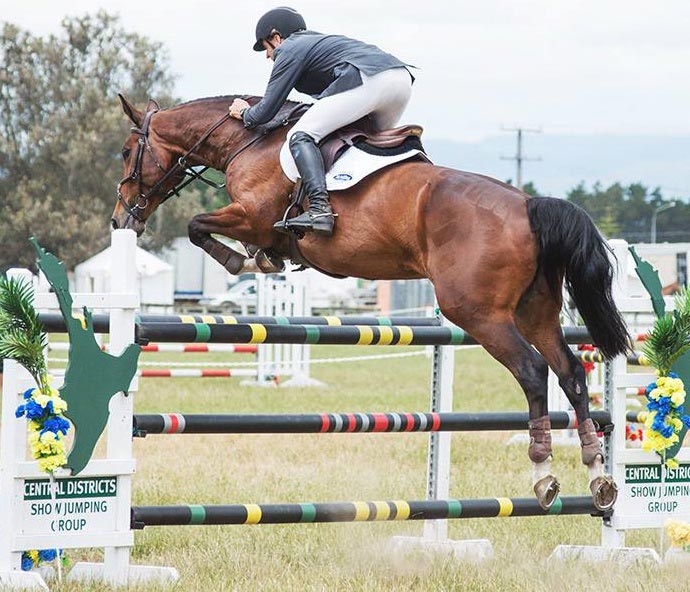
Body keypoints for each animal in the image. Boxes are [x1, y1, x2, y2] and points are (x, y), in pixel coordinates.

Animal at [111, 94, 629, 512]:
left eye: (125, 153)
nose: (121, 220)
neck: (248, 140)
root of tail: (528, 204)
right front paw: (262, 259)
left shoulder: (251, 216)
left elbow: (198, 226)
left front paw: (246, 260)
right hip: (534, 312)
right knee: (570, 371)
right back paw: (597, 474)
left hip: (478, 313)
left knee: (533, 371)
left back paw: (544, 475)